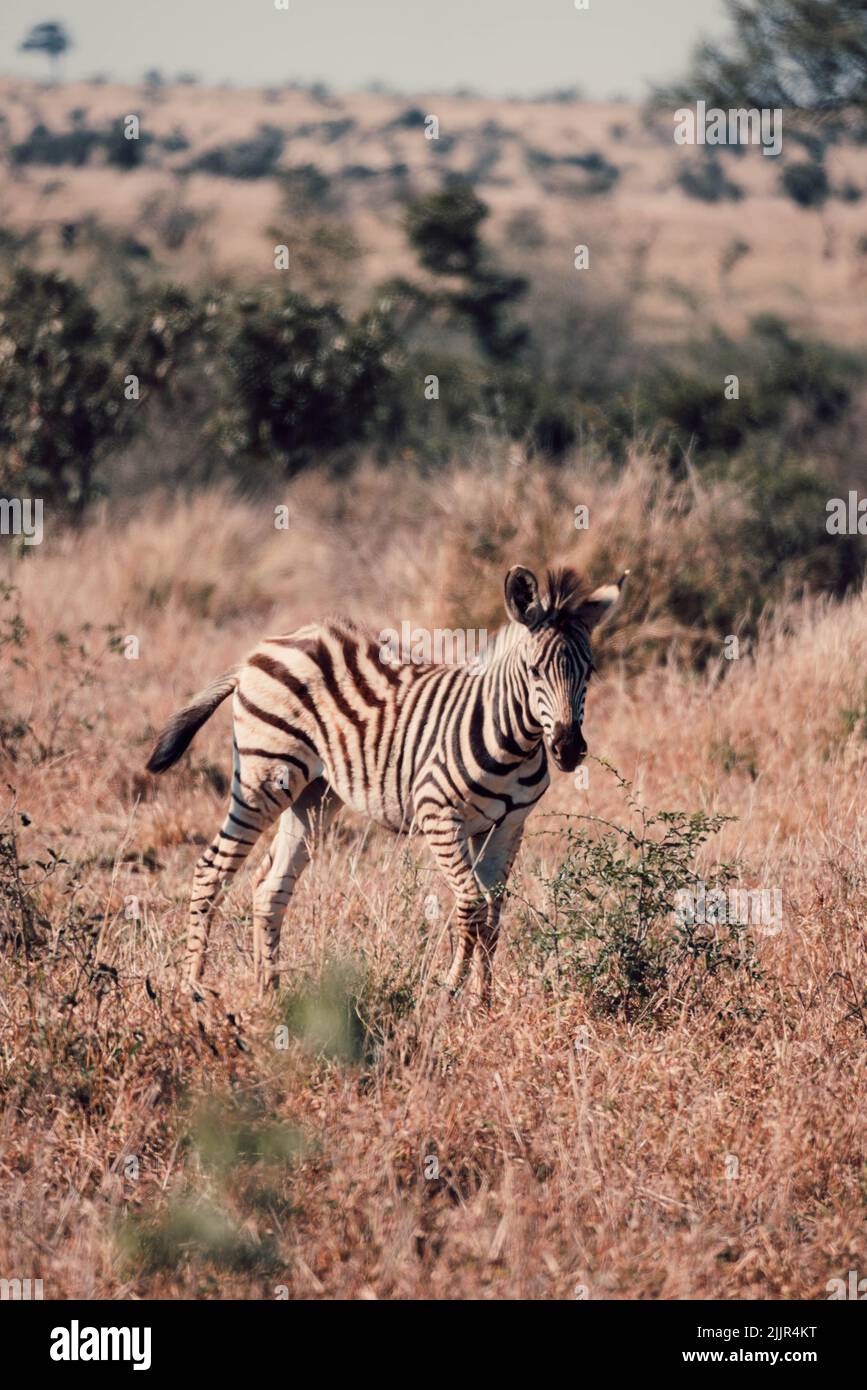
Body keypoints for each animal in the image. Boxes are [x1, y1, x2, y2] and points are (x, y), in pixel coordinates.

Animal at [145, 564, 626, 1003]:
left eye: (590, 671)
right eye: (534, 671)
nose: (568, 749)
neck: (513, 739)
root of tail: (262, 649)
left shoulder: (507, 826)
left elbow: (493, 913)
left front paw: (484, 1002)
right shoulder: (439, 815)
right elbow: (471, 906)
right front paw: (449, 994)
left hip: (314, 796)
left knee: (271, 887)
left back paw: (270, 992)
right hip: (262, 777)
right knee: (212, 869)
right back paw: (192, 990)